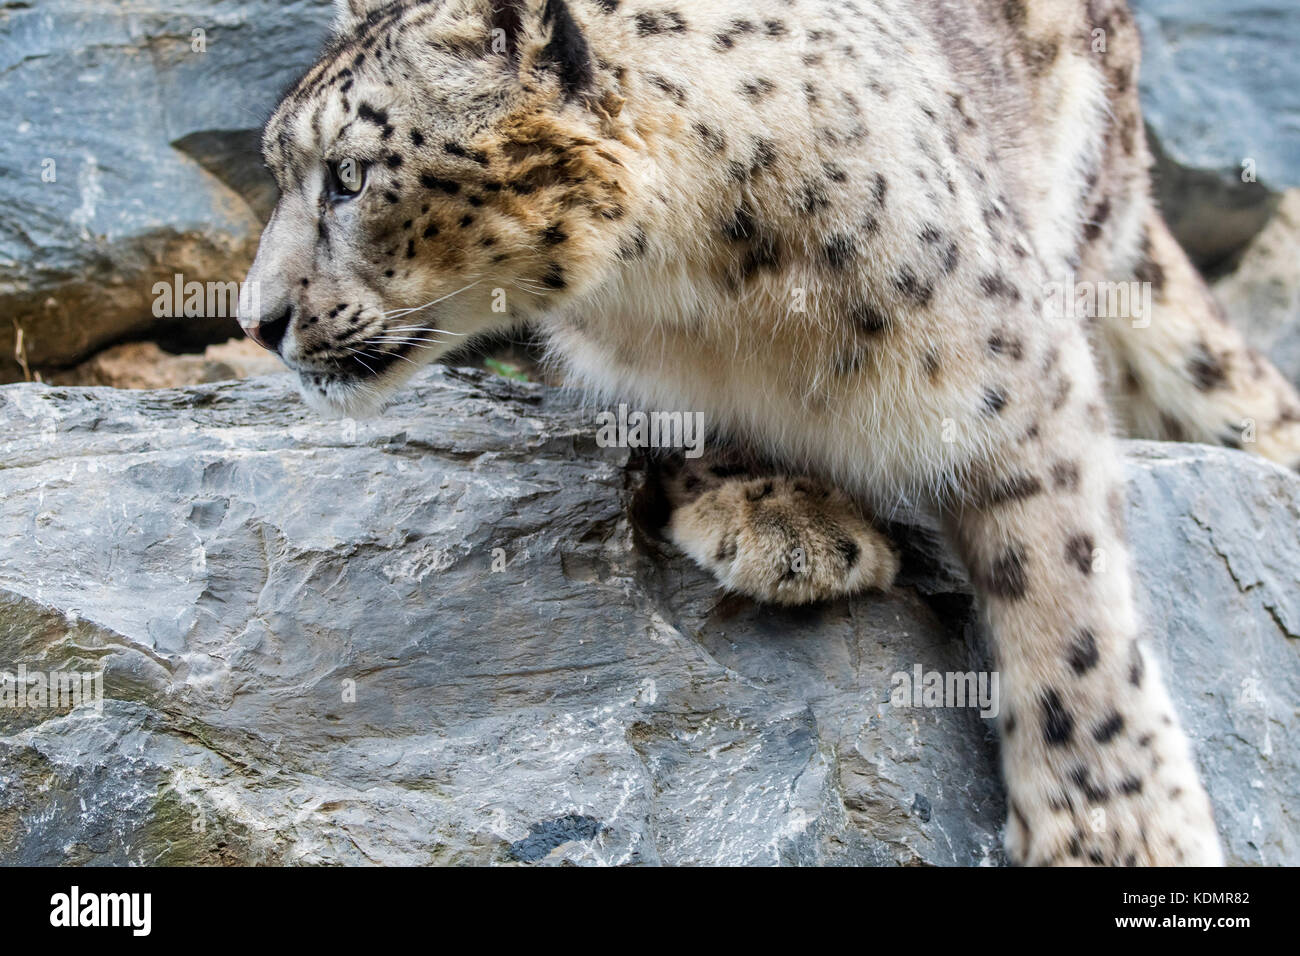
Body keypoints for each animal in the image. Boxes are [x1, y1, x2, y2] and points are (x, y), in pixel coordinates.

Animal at [239, 0, 1300, 865]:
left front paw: (1116, 830)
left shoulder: (1020, 375)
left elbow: (1067, 598)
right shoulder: (634, 373)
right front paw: (780, 514)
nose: (255, 320)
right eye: (285, 169)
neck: (706, 295)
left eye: (349, 176)